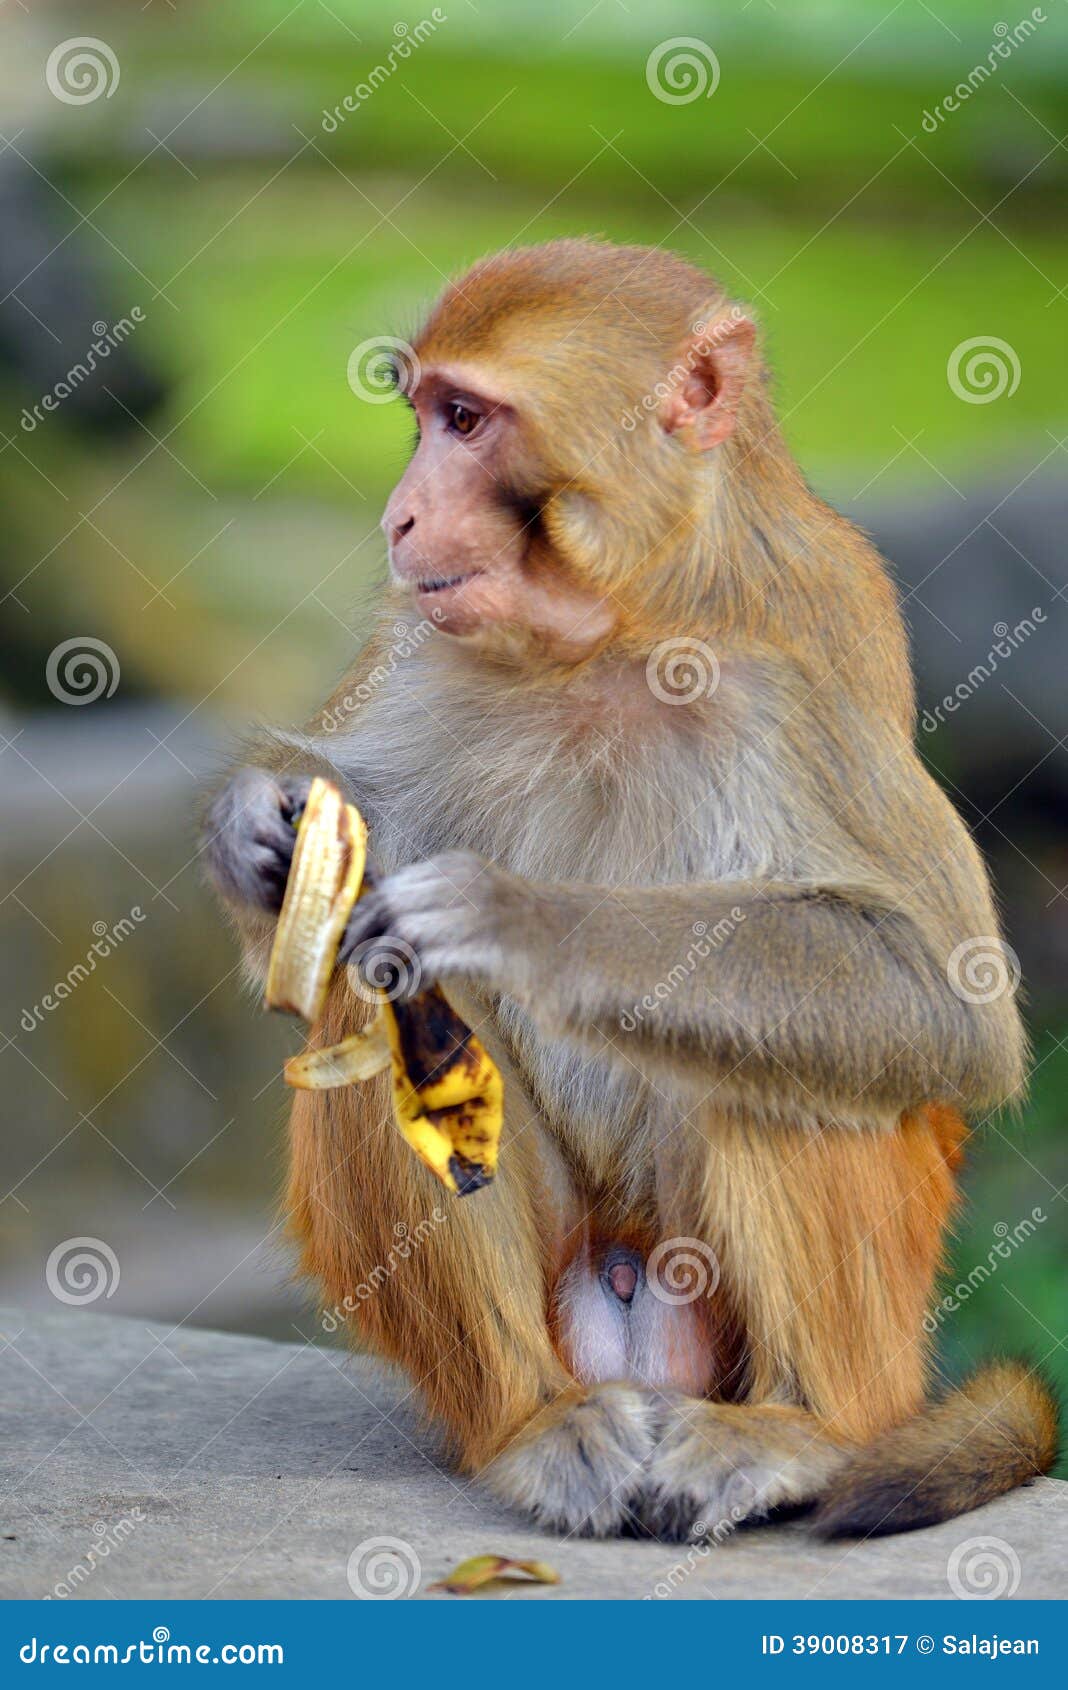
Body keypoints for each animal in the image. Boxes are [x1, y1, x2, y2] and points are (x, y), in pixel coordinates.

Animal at [202, 239, 1058, 1541]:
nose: (400, 516)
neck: (620, 625)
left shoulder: (809, 652)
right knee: (377, 999)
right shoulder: (418, 642)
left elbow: (941, 1006)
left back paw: (800, 1428)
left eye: (466, 419)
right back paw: (532, 1421)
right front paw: (256, 830)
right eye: (422, 415)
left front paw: (517, 919)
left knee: (786, 1054)